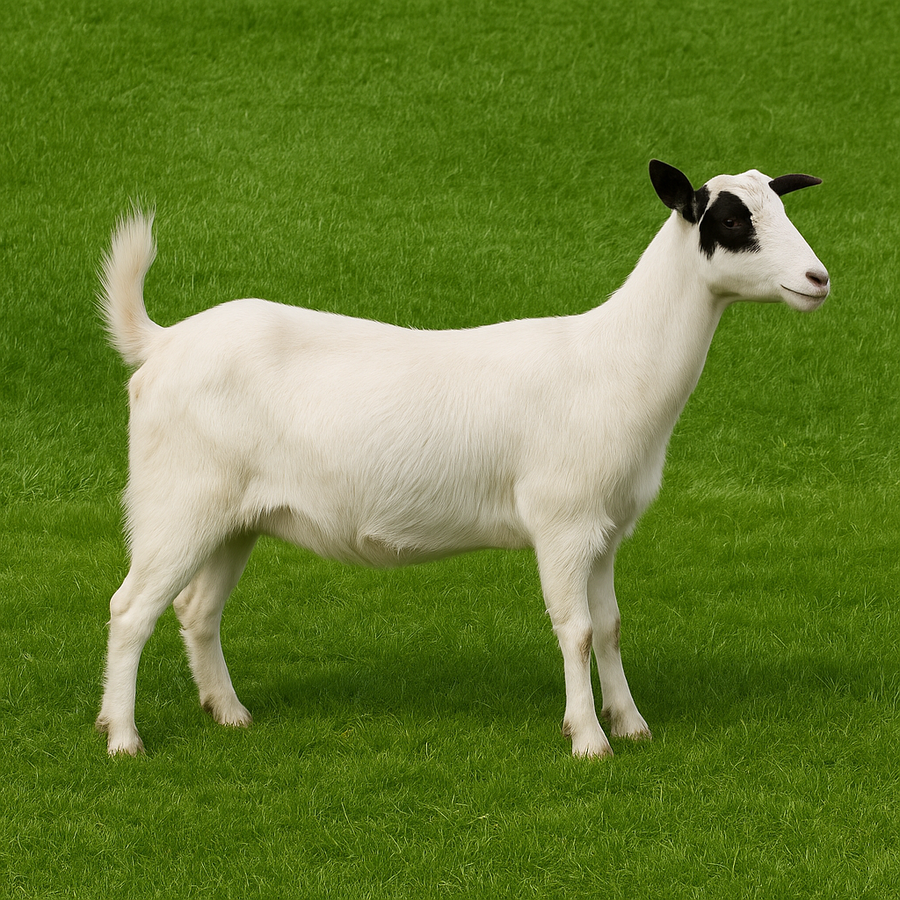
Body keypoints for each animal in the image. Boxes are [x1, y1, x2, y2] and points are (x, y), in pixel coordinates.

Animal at [95, 161, 829, 757]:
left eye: (780, 206)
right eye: (730, 220)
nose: (818, 279)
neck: (614, 360)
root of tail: (160, 343)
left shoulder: (605, 529)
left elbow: (611, 627)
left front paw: (631, 724)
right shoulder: (563, 523)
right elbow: (576, 631)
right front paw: (589, 739)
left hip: (232, 517)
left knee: (197, 610)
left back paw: (228, 713)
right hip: (176, 503)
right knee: (130, 609)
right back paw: (123, 737)